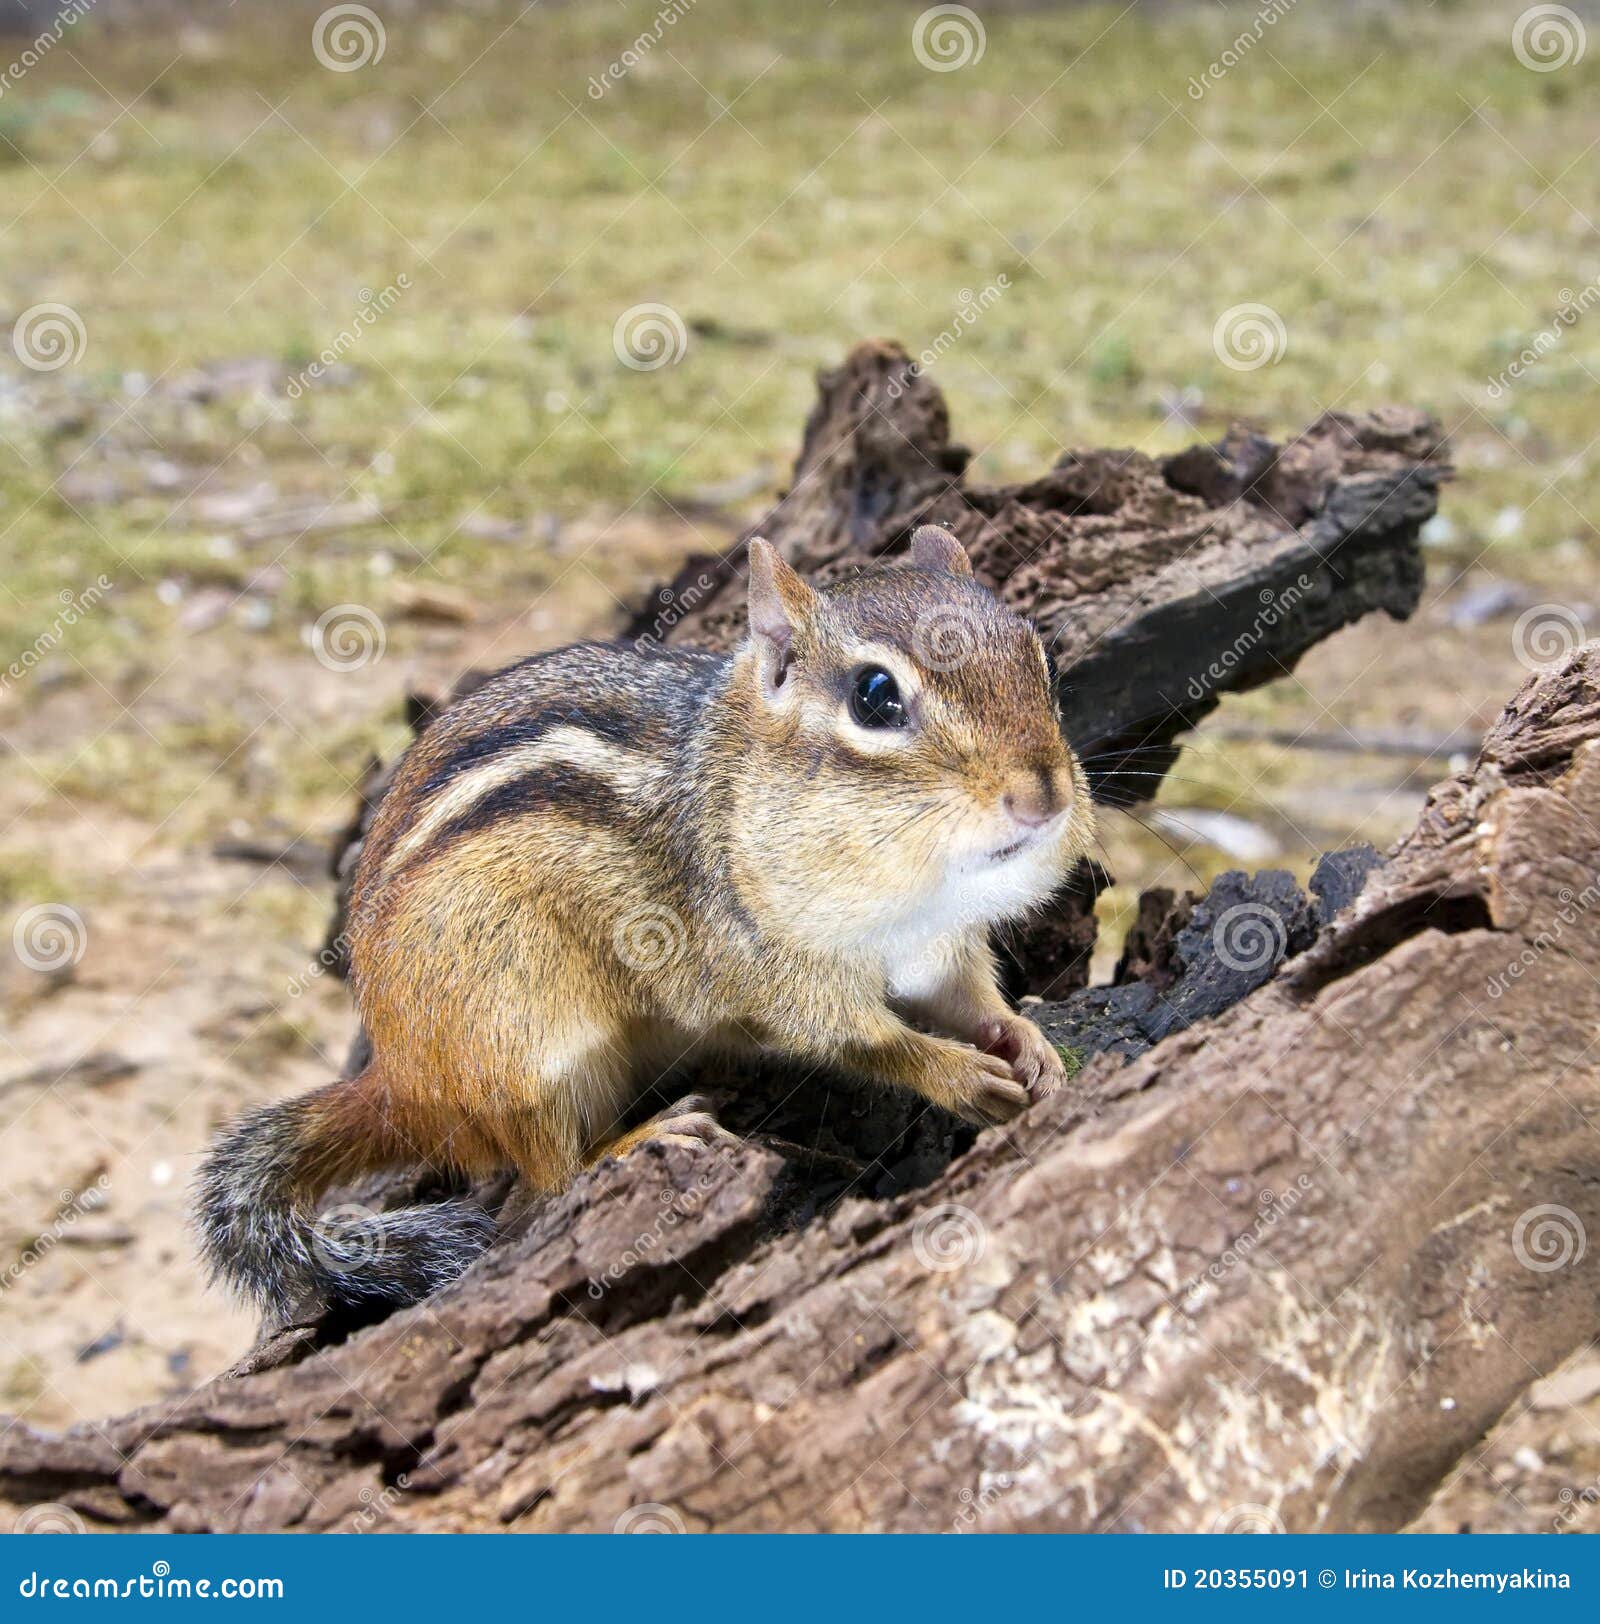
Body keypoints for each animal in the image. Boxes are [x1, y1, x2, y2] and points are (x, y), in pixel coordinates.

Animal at [196, 526, 1094, 1319]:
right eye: (876, 698)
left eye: (1040, 657)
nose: (1042, 796)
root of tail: (402, 1083)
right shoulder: (764, 958)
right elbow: (859, 1038)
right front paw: (955, 1072)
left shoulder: (939, 946)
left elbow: (969, 997)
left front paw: (1025, 1040)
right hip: (528, 1036)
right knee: (545, 1179)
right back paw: (634, 1142)